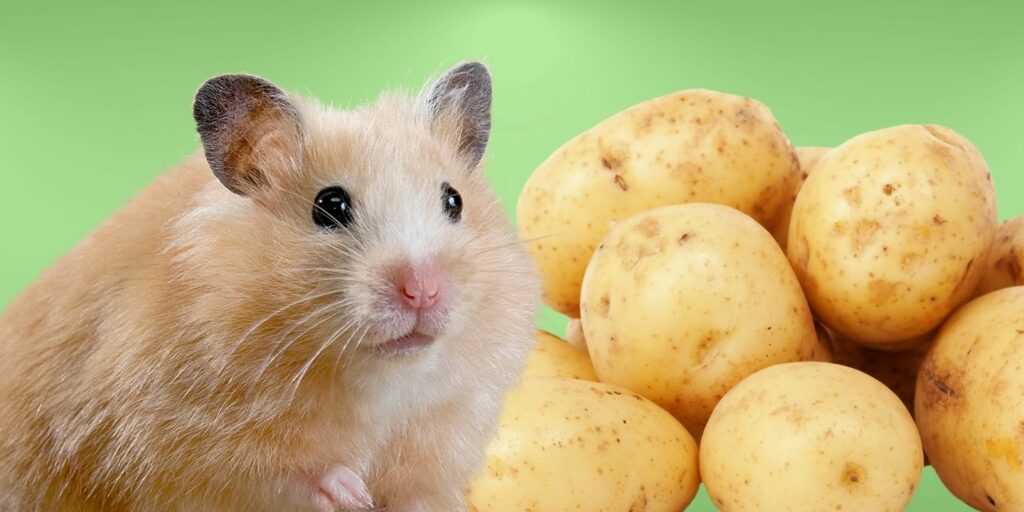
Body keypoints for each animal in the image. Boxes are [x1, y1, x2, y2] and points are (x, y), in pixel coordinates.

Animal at [0, 61, 540, 511]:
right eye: (329, 206)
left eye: (454, 201)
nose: (423, 292)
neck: (381, 378)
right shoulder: (178, 442)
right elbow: (281, 472)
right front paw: (352, 494)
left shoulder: (443, 430)